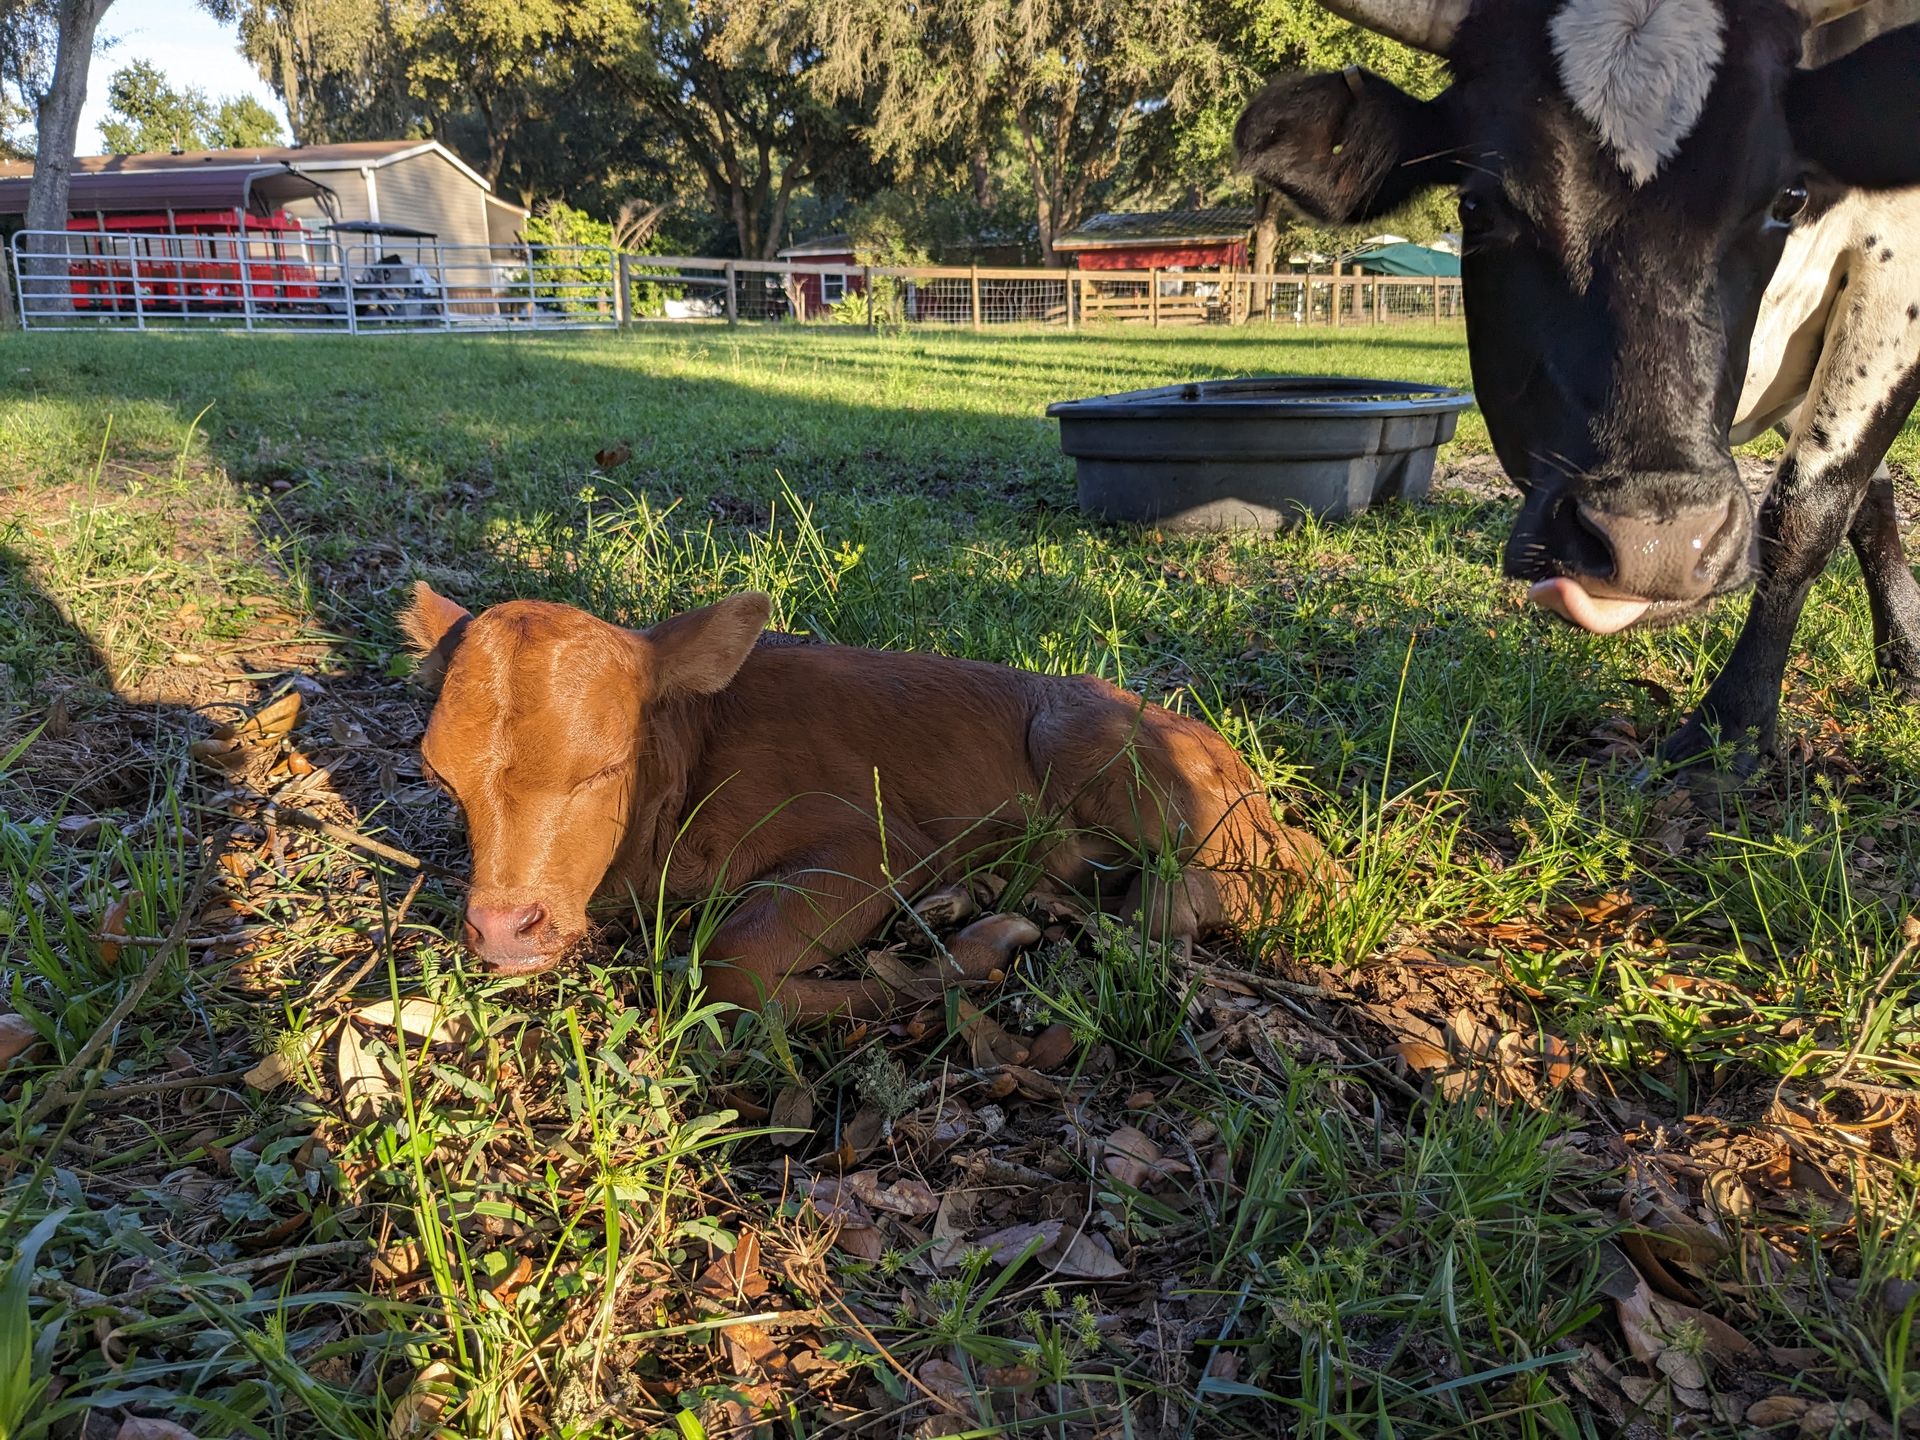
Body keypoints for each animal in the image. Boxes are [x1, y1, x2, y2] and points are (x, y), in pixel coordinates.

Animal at [400, 583, 1332, 1018]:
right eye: (440, 778)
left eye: (603, 768)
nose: (502, 928)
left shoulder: (875, 843)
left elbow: (730, 965)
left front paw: (973, 953)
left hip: (1094, 745)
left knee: (1270, 879)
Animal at [1234, 0, 1920, 772]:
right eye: (1476, 207)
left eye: (1789, 196)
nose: (1656, 543)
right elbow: (1862, 500)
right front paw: (1898, 658)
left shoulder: (1895, 271)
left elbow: (1810, 510)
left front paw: (1733, 726)